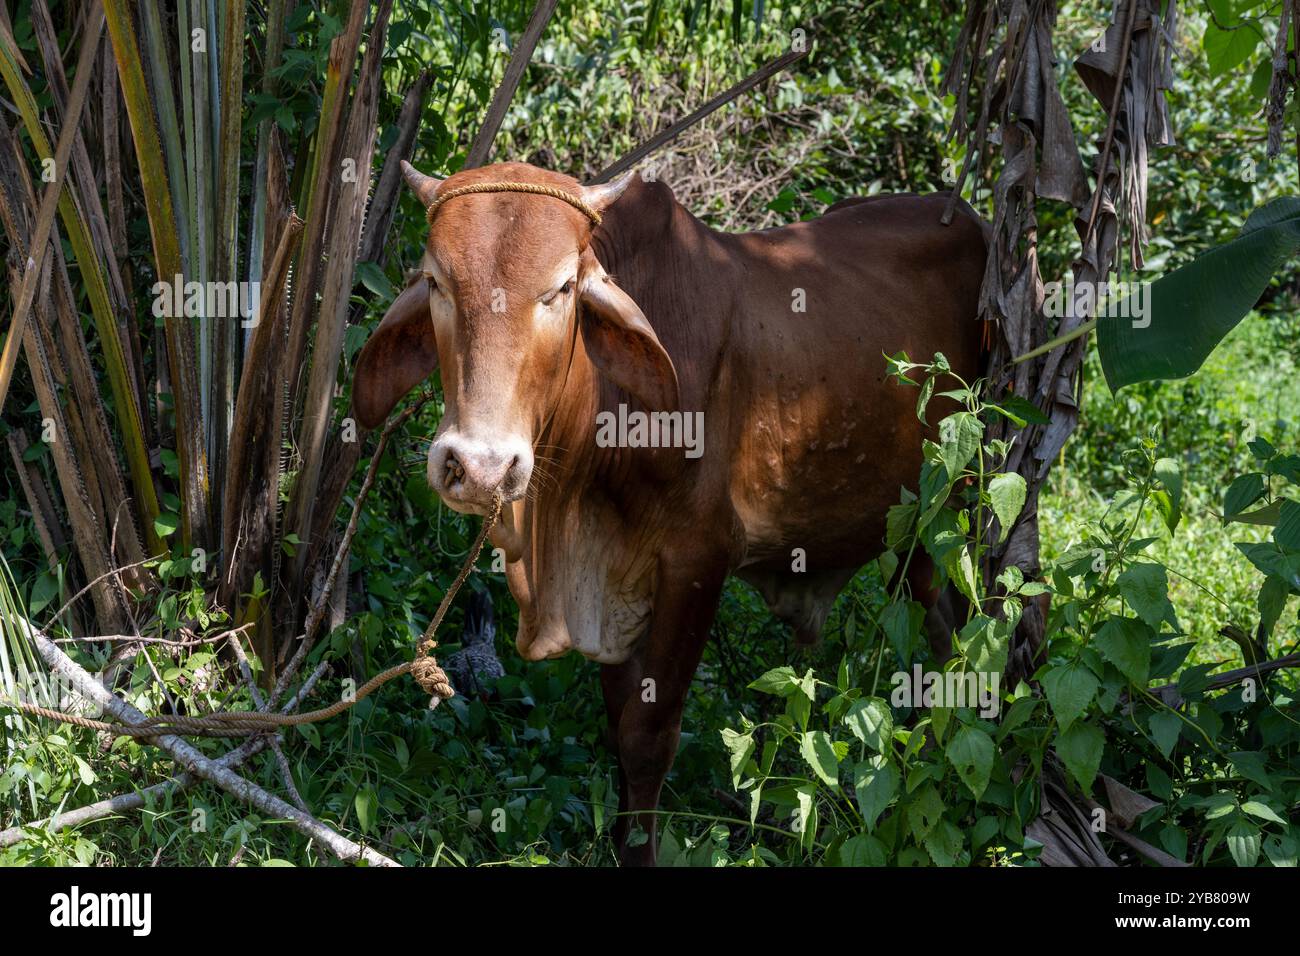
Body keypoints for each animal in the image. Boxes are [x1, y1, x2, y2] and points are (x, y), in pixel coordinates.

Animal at [351, 159, 987, 865]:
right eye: (437, 280)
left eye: (562, 288)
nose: (481, 466)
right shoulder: (612, 581)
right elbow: (619, 725)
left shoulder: (697, 562)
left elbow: (648, 735)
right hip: (911, 528)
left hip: (956, 502)